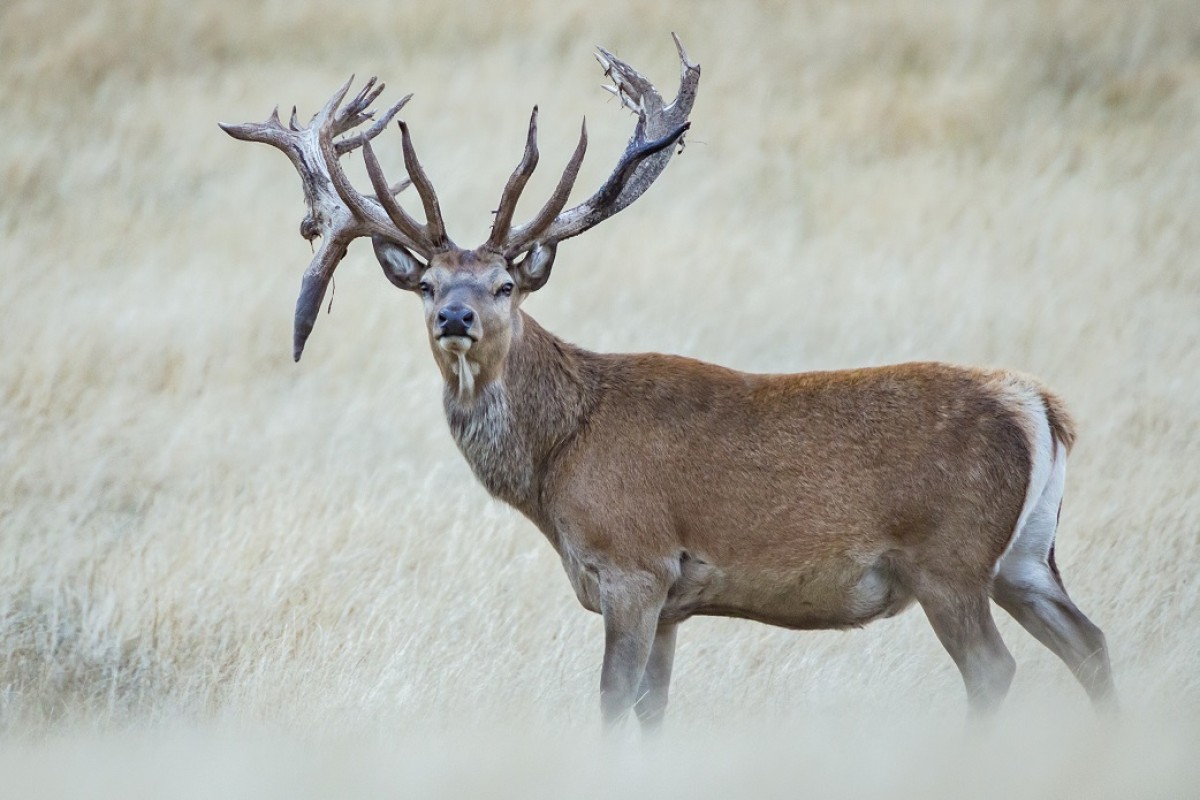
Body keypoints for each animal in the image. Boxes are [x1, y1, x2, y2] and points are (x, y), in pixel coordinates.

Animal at [221, 35, 1116, 728]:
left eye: (505, 283)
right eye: (428, 284)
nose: (456, 318)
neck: (558, 463)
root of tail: (1038, 406)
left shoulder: (634, 565)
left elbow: (613, 705)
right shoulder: (675, 601)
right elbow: (654, 710)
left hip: (950, 556)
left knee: (996, 671)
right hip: (1025, 559)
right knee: (1093, 644)